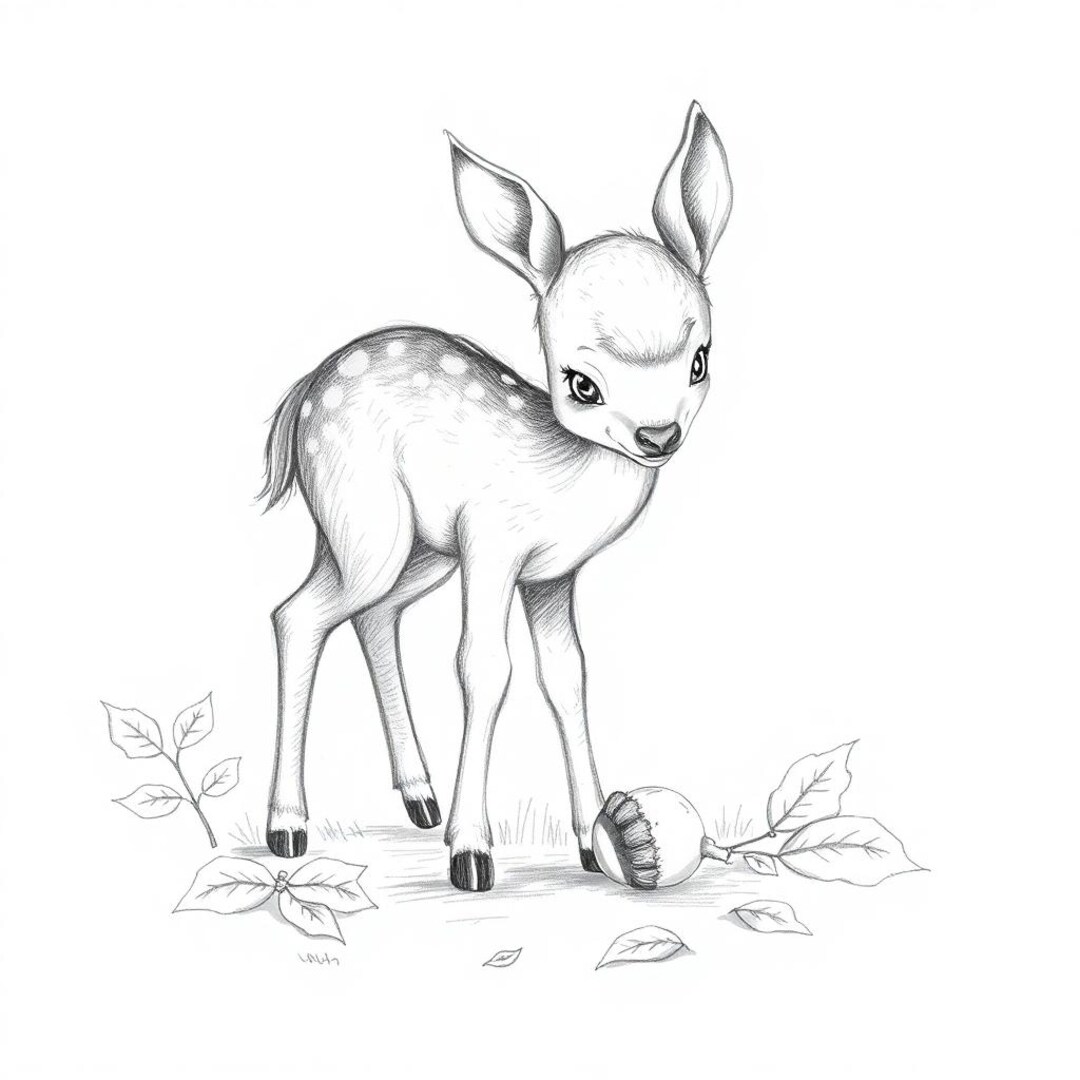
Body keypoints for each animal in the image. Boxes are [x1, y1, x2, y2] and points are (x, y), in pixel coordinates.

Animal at [259, 102, 733, 891]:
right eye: (581, 382)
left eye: (700, 361)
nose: (657, 434)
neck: (563, 481)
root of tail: (301, 398)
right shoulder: (492, 540)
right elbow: (484, 668)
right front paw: (472, 856)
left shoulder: (551, 575)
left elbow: (566, 676)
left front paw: (592, 839)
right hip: (369, 522)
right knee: (297, 616)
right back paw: (288, 827)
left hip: (416, 549)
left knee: (370, 616)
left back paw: (419, 797)